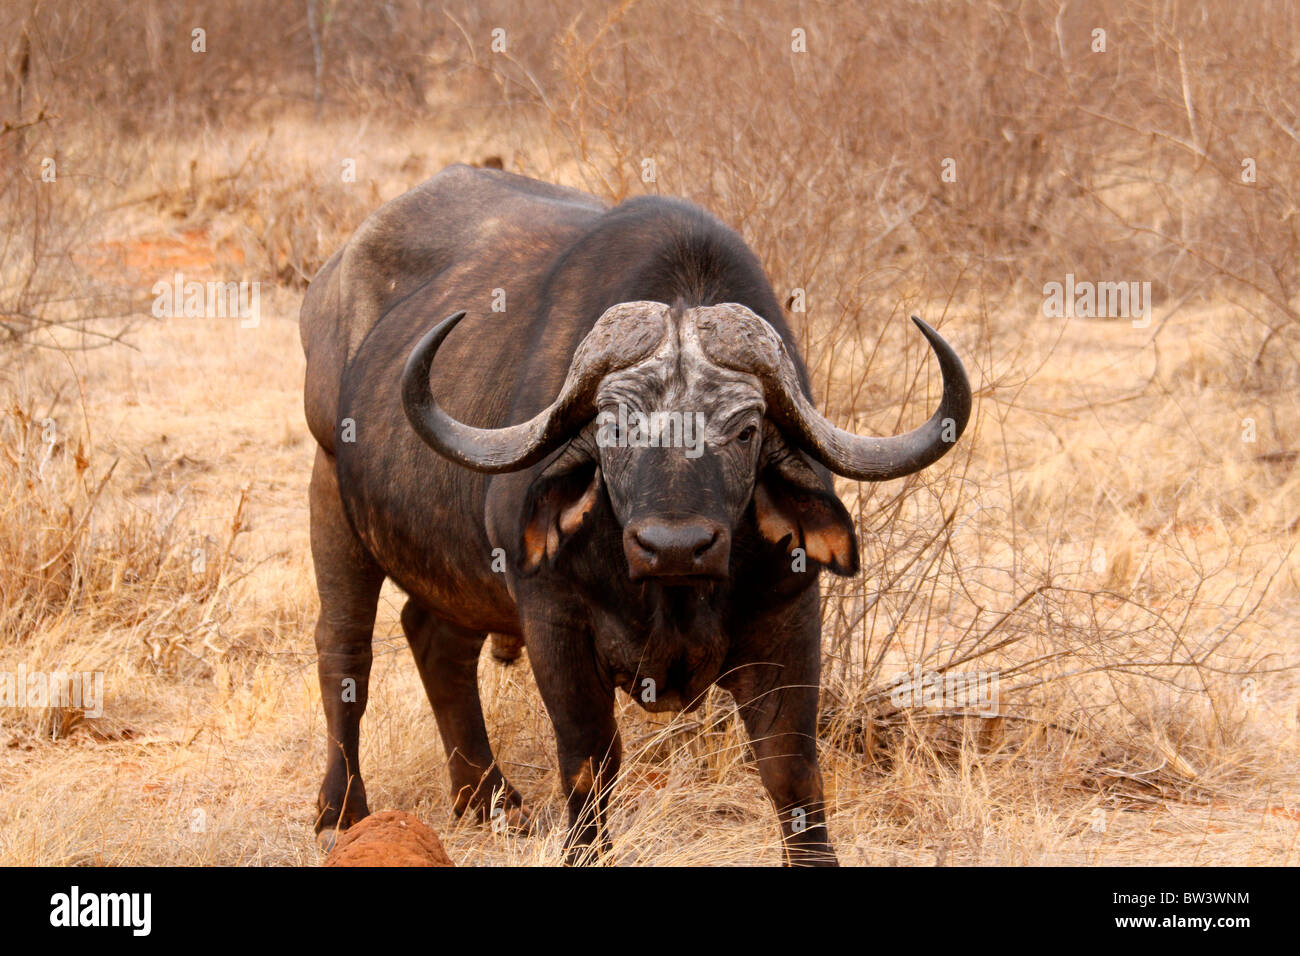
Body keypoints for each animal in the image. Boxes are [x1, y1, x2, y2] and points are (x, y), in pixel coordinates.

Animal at [299, 164, 971, 865]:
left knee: (436, 639)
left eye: (746, 430)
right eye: (613, 426)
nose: (674, 546)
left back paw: (488, 799)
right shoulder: (553, 621)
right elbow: (589, 761)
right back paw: (340, 811)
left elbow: (791, 771)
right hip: (330, 489)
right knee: (345, 652)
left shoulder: (791, 620)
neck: (672, 596)